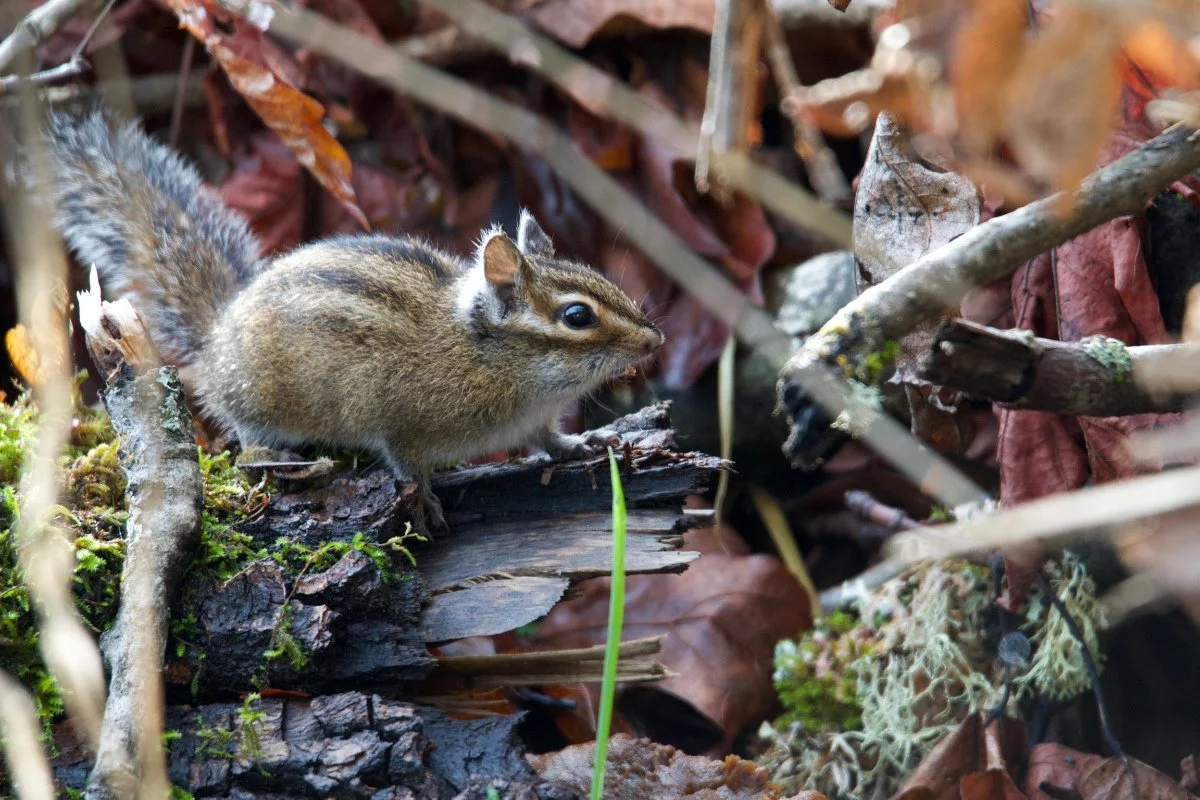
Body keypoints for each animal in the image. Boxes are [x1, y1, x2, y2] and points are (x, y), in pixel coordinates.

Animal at [45, 111, 664, 534]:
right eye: (577, 316)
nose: (654, 338)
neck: (495, 361)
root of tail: (217, 338)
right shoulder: (403, 422)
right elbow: (406, 463)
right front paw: (424, 499)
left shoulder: (533, 422)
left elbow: (548, 441)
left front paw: (585, 443)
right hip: (262, 403)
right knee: (244, 441)